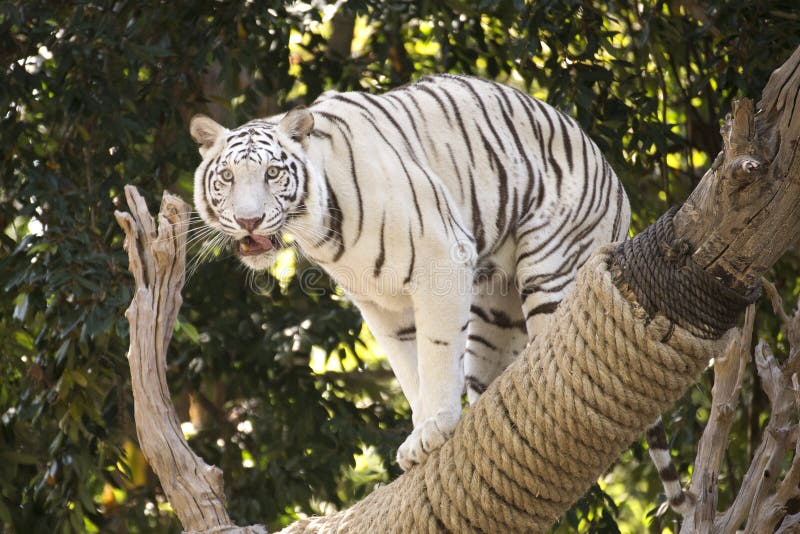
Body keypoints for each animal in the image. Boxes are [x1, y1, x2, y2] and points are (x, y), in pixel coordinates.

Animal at [190, 74, 693, 513]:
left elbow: (435, 354)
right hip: (495, 314)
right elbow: (407, 368)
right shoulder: (378, 303)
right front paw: (422, 435)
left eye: (274, 173)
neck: (323, 229)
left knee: (559, 356)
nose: (249, 220)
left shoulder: (441, 261)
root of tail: (614, 178)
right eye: (227, 177)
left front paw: (436, 427)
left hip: (554, 270)